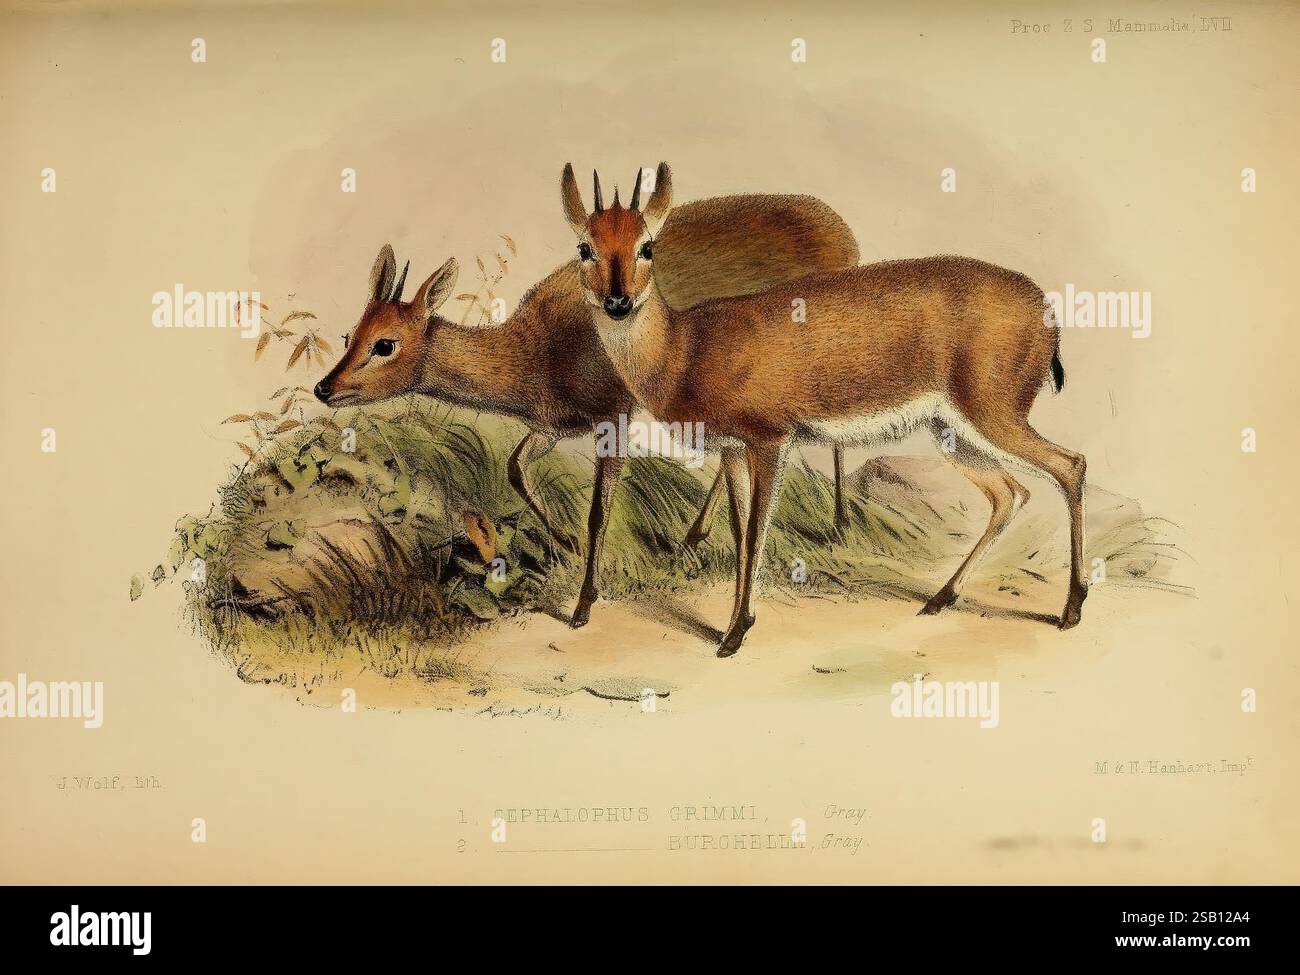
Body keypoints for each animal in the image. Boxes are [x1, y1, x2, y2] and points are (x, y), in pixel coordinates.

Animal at [314, 190, 858, 628]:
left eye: (385, 344)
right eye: (350, 335)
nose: (323, 387)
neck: (532, 353)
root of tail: (846, 234)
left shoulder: (614, 413)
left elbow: (599, 509)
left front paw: (583, 602)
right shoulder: (553, 423)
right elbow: (515, 467)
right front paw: (566, 543)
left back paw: (838, 523)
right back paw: (692, 539)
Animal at [561, 162, 1088, 657]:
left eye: (647, 245)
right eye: (585, 247)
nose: (618, 301)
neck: (686, 351)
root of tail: (1047, 315)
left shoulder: (771, 439)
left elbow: (756, 530)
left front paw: (736, 633)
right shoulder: (731, 448)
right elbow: (738, 532)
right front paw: (728, 626)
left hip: (993, 413)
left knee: (1070, 465)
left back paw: (1070, 611)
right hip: (951, 430)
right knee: (1010, 492)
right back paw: (939, 599)